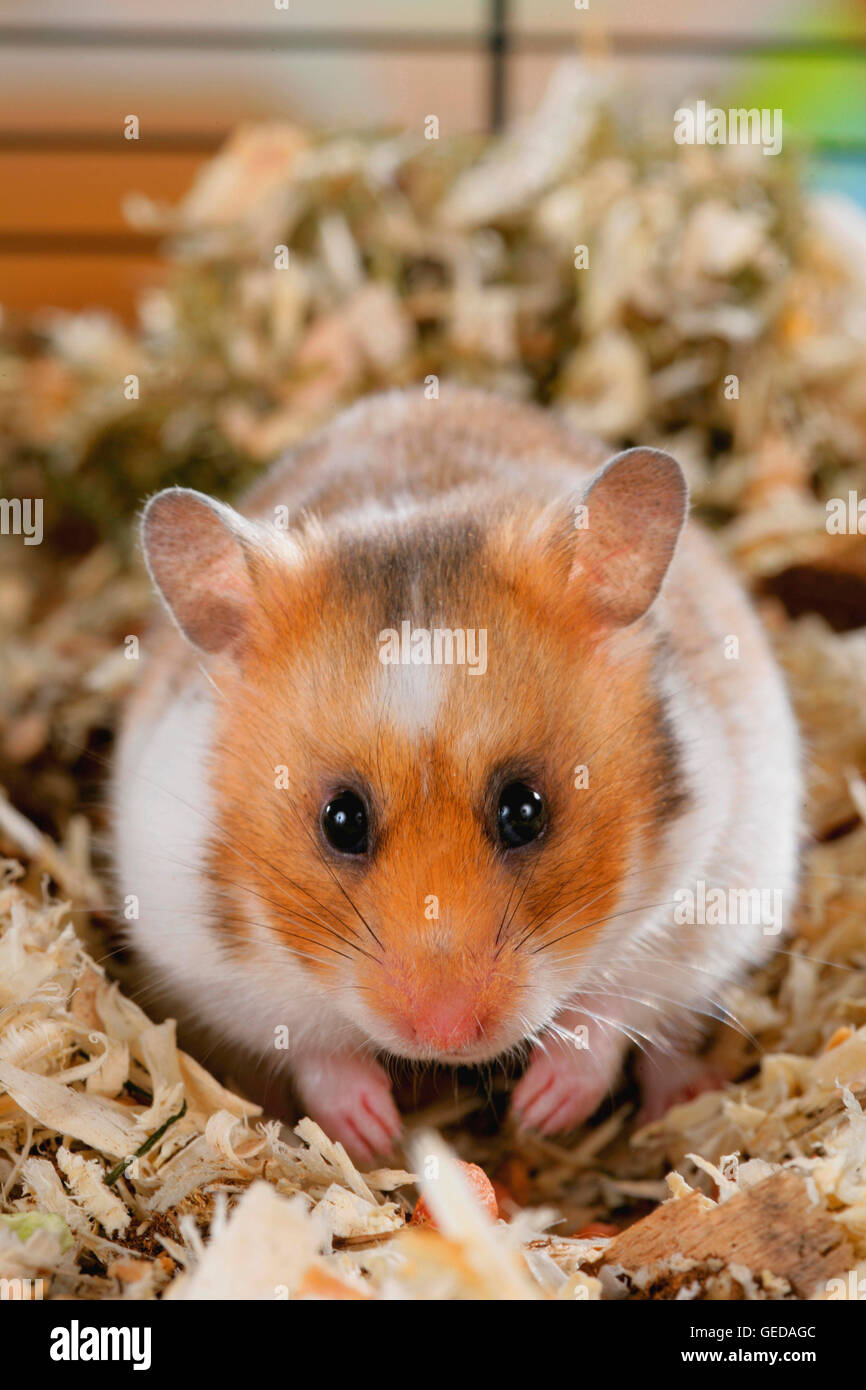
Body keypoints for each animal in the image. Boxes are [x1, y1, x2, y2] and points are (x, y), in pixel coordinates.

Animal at [113, 386, 801, 1160]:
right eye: (341, 820)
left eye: (526, 810)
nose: (446, 1036)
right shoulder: (215, 967)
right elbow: (317, 1049)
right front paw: (371, 1136)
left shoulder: (704, 891)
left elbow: (608, 1011)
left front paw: (541, 1112)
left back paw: (682, 1101)